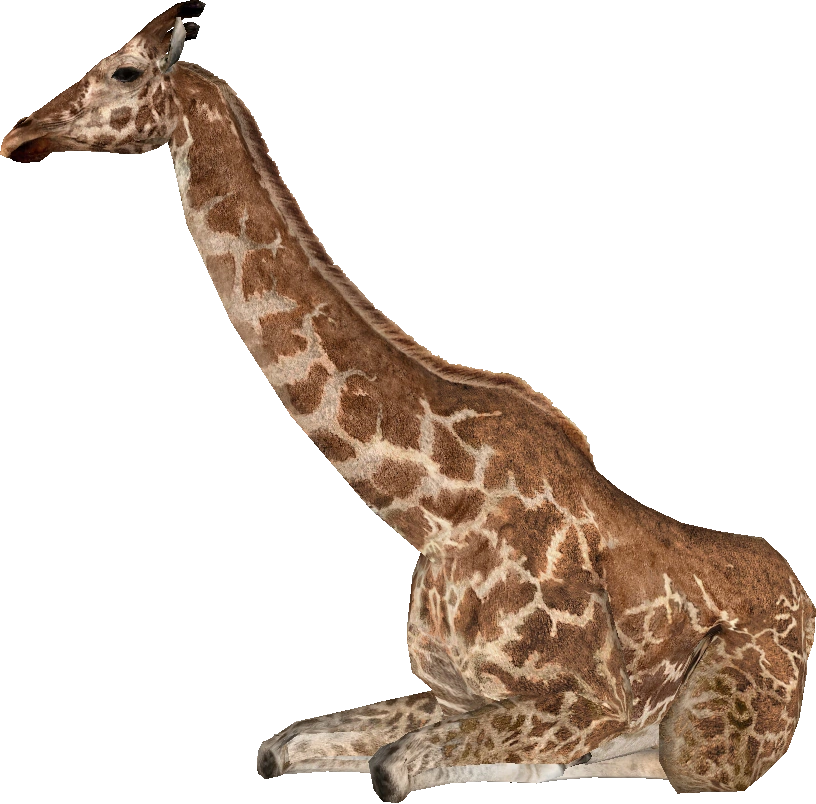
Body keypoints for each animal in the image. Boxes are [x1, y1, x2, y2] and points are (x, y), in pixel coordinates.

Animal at [1, 2, 813, 801]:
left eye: (124, 69)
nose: (19, 133)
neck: (432, 511)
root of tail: (799, 591)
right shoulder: (446, 694)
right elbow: (281, 748)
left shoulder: (588, 697)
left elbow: (395, 767)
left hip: (703, 735)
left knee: (680, 765)